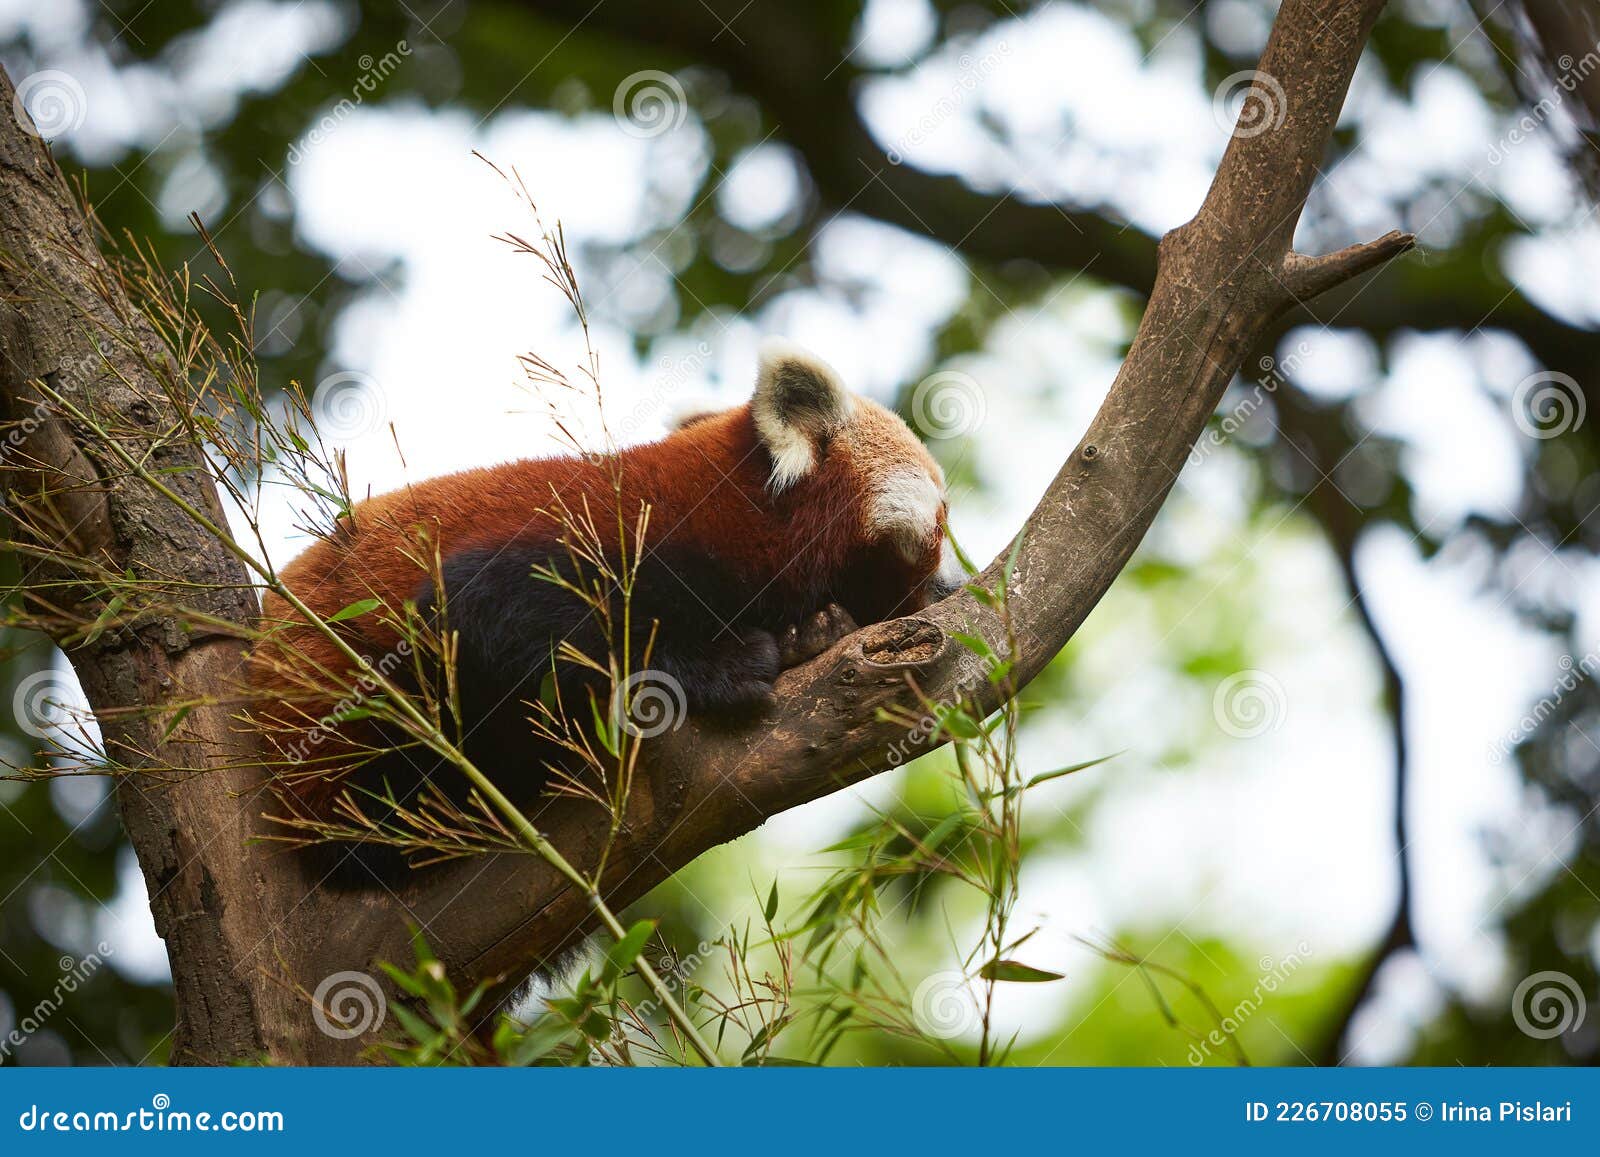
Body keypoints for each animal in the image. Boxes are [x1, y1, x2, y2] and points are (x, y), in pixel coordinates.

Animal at [252, 339, 959, 873]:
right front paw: (726, 664)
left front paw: (807, 632)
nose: (949, 584)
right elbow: (496, 624)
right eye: (942, 515)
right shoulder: (580, 544)